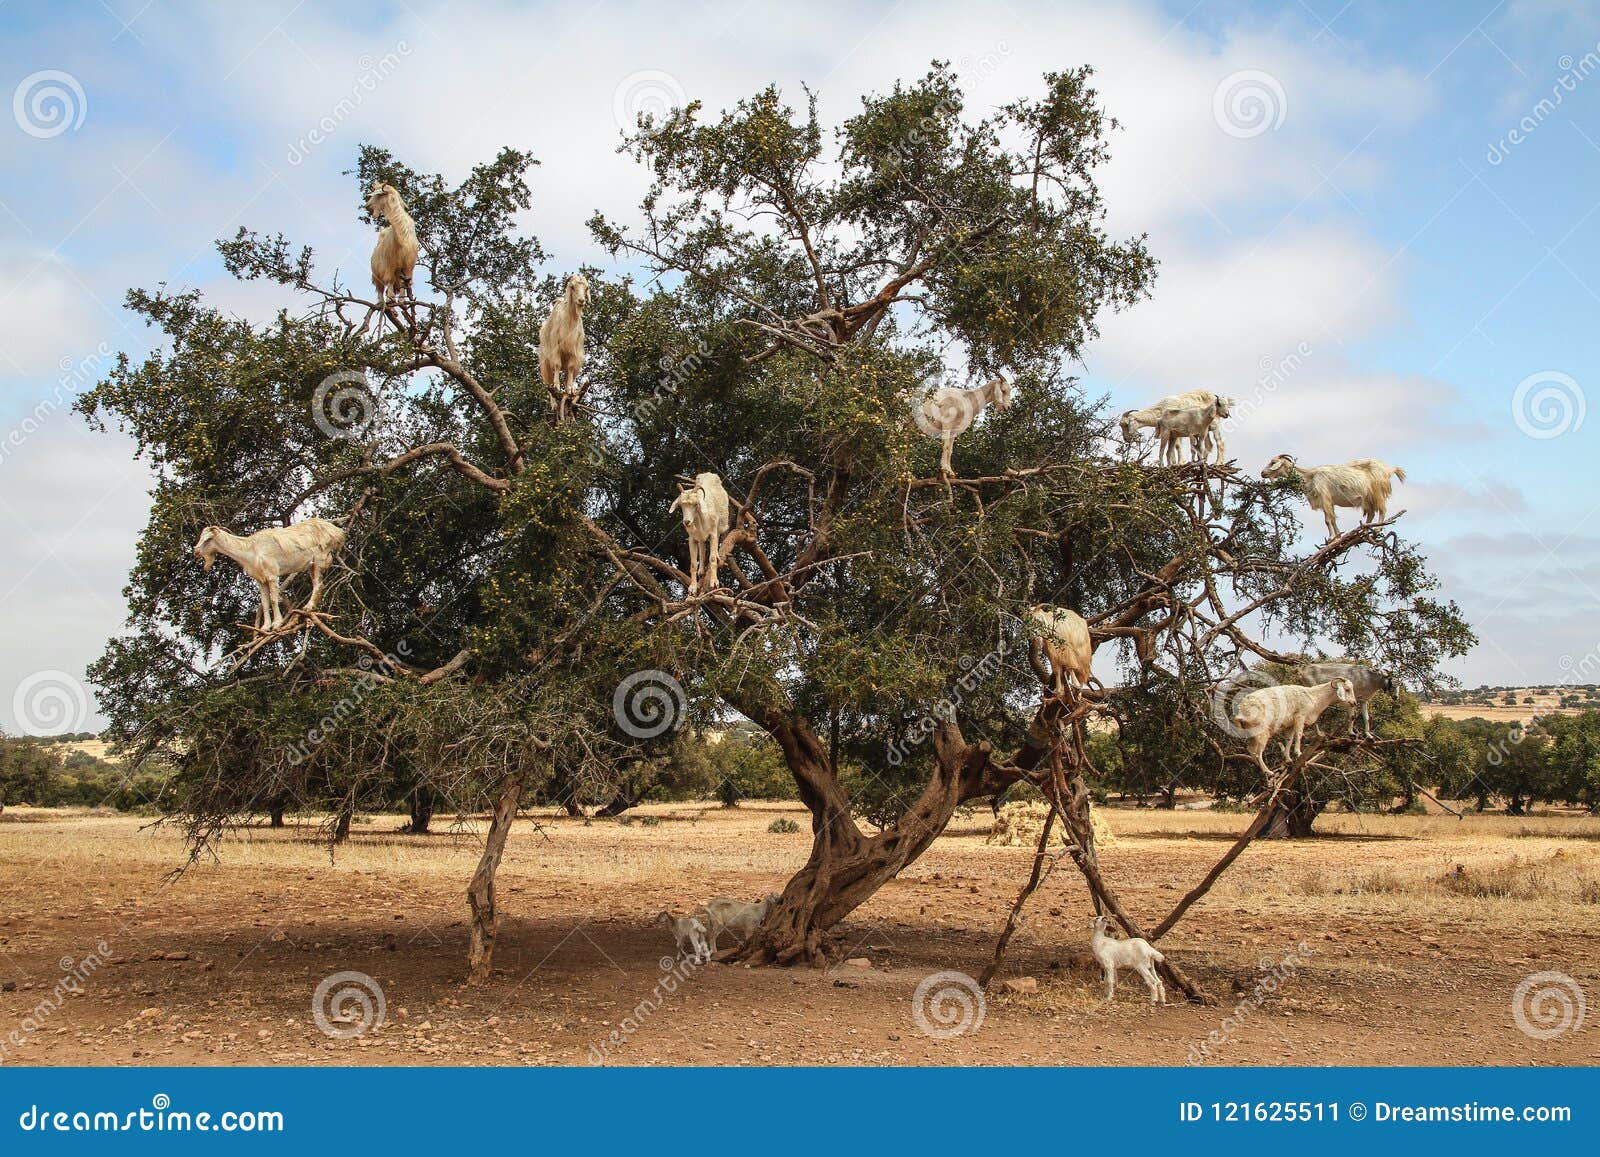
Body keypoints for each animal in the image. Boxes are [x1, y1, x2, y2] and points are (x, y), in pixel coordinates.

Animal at [193, 518, 347, 631]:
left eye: (208, 539)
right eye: (201, 537)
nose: (196, 551)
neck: (251, 550)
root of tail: (337, 532)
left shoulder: (272, 575)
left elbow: (273, 599)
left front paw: (277, 623)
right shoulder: (261, 580)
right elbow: (265, 602)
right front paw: (265, 627)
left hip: (320, 559)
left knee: (318, 584)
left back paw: (308, 607)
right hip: (312, 565)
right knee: (319, 584)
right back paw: (314, 607)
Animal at [365, 182, 418, 332]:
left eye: (379, 194)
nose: (367, 206)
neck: (401, 234)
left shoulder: (408, 267)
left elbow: (405, 286)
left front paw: (403, 304)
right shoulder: (389, 267)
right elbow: (388, 289)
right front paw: (392, 305)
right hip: (376, 276)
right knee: (381, 292)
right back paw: (385, 306)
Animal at [539, 273, 589, 421]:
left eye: (586, 288)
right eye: (572, 287)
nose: (581, 300)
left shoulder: (574, 352)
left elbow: (571, 369)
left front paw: (570, 389)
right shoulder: (555, 349)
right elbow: (556, 365)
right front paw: (557, 386)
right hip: (545, 364)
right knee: (548, 382)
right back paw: (554, 404)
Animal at [1261, 454, 1406, 540]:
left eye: (1273, 462)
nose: (1262, 473)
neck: (1310, 476)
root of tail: (1389, 470)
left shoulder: (1324, 498)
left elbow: (1327, 520)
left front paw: (1330, 538)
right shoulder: (1329, 502)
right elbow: (1333, 519)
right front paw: (1338, 537)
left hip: (1377, 493)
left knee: (1382, 510)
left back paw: (1377, 529)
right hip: (1367, 499)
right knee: (1371, 513)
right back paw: (1364, 530)